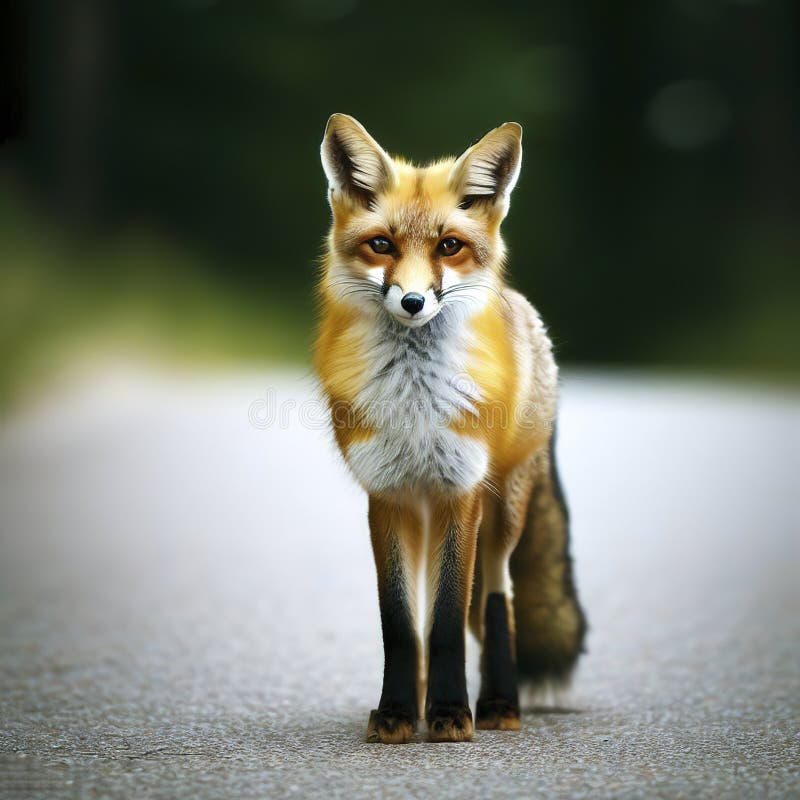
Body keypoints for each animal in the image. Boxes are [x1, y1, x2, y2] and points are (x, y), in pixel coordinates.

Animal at [314, 114, 586, 744]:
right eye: (382, 244)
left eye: (449, 246)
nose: (414, 301)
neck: (416, 404)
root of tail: (522, 307)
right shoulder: (386, 495)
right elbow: (401, 623)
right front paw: (396, 713)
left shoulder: (460, 493)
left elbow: (444, 622)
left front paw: (449, 715)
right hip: (423, 517)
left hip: (501, 512)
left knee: (495, 599)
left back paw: (498, 704)